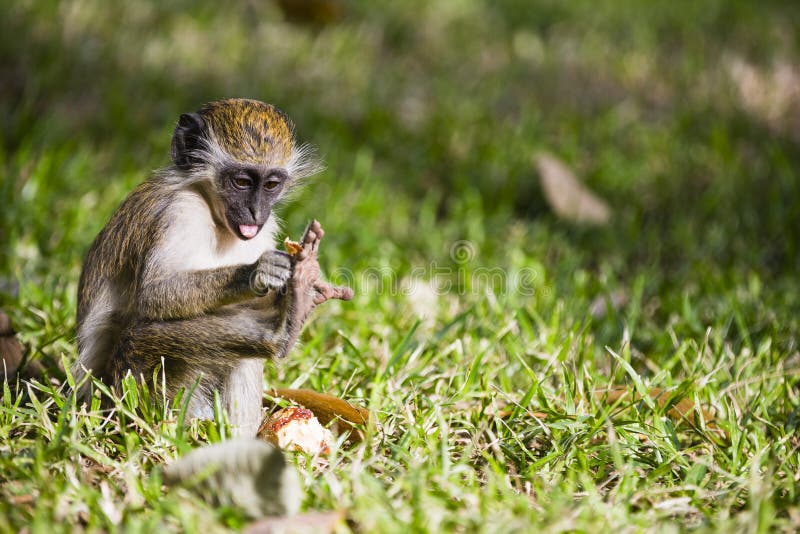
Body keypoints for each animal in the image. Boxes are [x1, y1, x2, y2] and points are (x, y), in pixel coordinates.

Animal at [72, 98, 353, 436]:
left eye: (271, 184)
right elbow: (153, 294)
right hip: (127, 391)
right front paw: (258, 273)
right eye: (242, 182)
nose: (256, 212)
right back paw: (281, 333)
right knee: (140, 337)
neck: (213, 212)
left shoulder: (267, 226)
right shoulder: (181, 211)